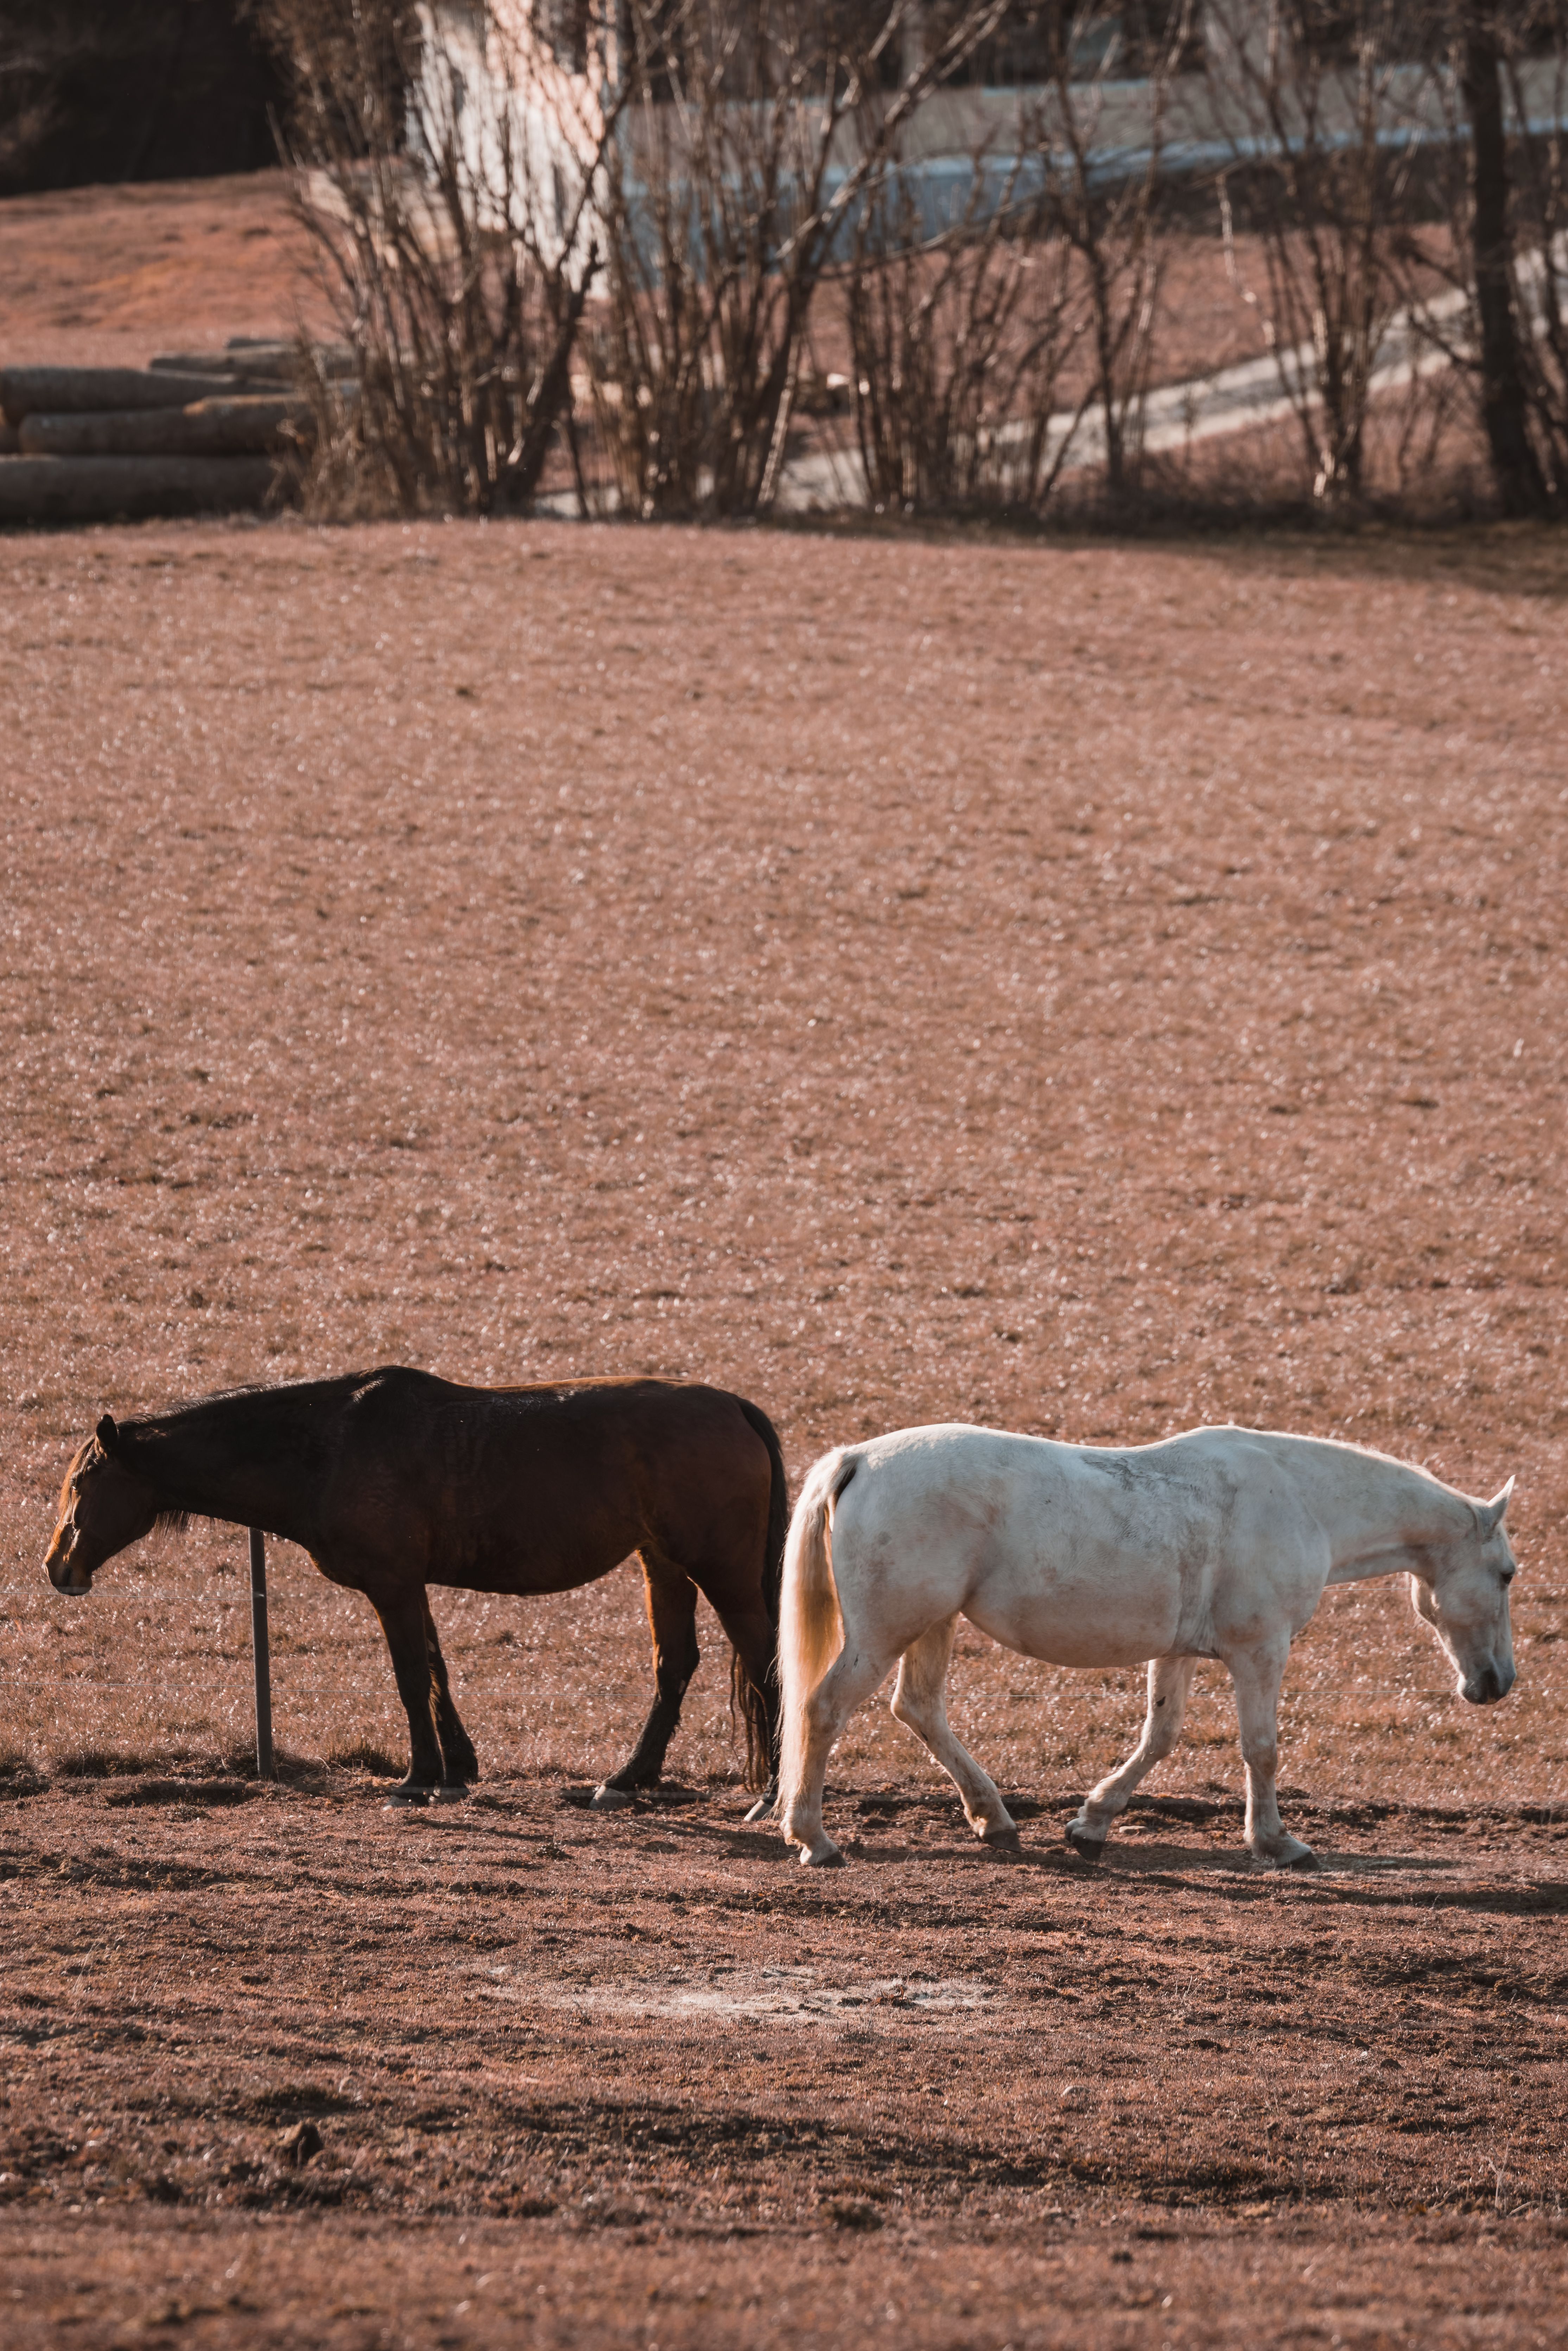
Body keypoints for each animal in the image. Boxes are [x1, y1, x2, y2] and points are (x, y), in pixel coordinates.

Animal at [45, 1368, 788, 1809]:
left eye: (83, 1482)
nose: (58, 1566)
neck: (329, 1446)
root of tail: (733, 1407)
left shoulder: (394, 1586)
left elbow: (409, 1677)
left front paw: (419, 1776)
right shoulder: (412, 1587)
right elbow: (435, 1671)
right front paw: (457, 1766)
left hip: (722, 1574)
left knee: (768, 1663)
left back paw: (775, 1791)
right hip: (663, 1565)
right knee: (674, 1666)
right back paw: (629, 1777)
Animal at [774, 1421, 1518, 1870]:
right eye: (1508, 1574)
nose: (1497, 1683)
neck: (1300, 1500)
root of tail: (858, 1459)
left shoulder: (1178, 1650)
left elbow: (1159, 1737)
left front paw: (1092, 1822)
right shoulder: (1259, 1652)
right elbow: (1261, 1749)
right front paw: (1276, 1842)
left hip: (932, 1624)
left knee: (919, 1709)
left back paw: (993, 1818)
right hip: (886, 1633)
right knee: (824, 1709)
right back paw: (813, 1836)